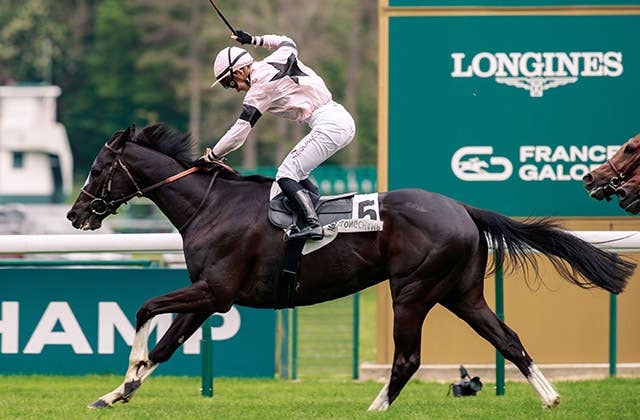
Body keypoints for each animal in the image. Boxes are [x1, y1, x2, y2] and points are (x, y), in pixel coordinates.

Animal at [67, 123, 635, 411]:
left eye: (96, 168)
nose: (75, 214)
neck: (210, 205)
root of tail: (461, 208)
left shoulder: (216, 292)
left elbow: (145, 310)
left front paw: (126, 377)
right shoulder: (207, 294)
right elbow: (164, 344)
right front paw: (116, 392)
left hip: (412, 292)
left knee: (407, 359)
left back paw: (374, 408)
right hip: (461, 293)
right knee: (508, 339)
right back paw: (550, 396)